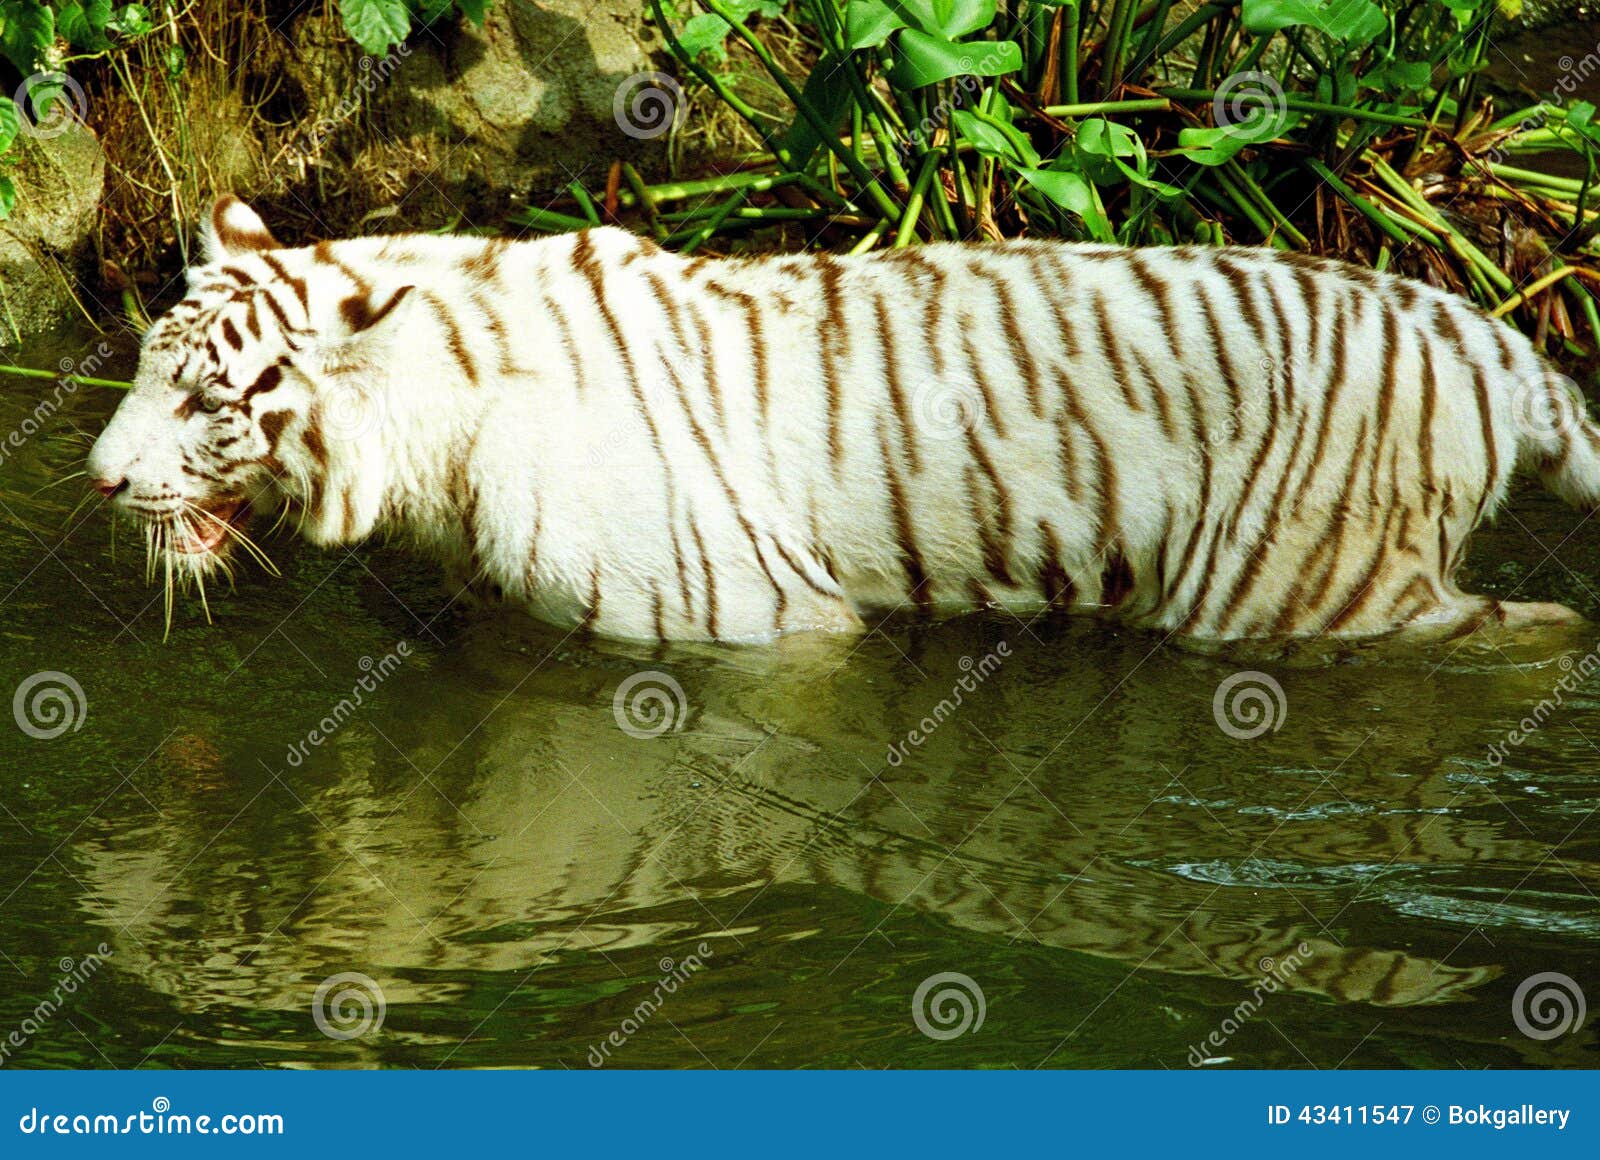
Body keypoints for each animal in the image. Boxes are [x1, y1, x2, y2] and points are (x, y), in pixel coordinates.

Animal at [87, 195, 1600, 643]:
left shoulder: (764, 628)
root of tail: (1492, 334)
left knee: (1533, 630)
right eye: (145, 366)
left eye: (209, 399)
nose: (97, 483)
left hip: (1301, 585)